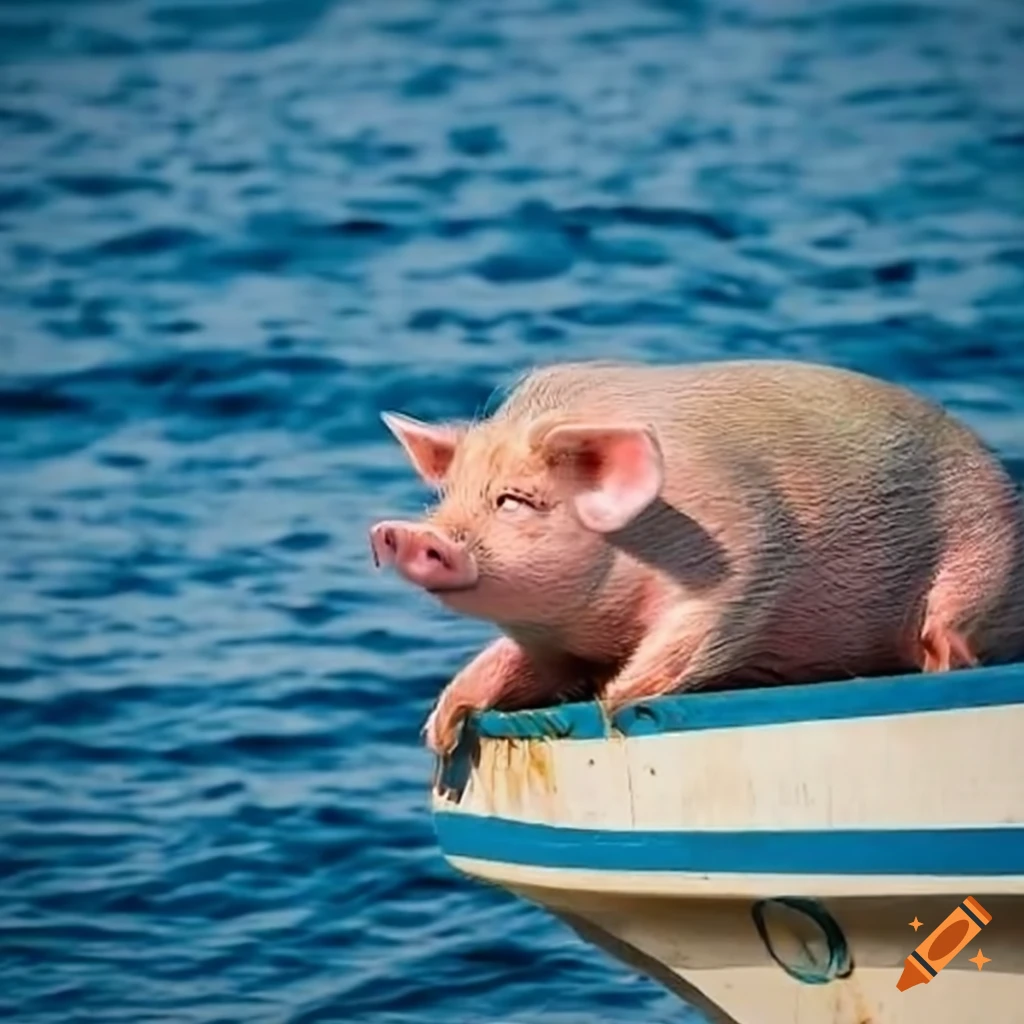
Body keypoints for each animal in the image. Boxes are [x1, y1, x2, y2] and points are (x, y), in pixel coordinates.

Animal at [369, 359, 1024, 756]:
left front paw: (611, 707)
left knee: (951, 631)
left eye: (513, 499)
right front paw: (440, 733)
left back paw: (940, 665)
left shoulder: (746, 557)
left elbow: (695, 634)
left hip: (984, 552)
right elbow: (511, 666)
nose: (399, 533)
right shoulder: (551, 643)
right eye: (445, 497)